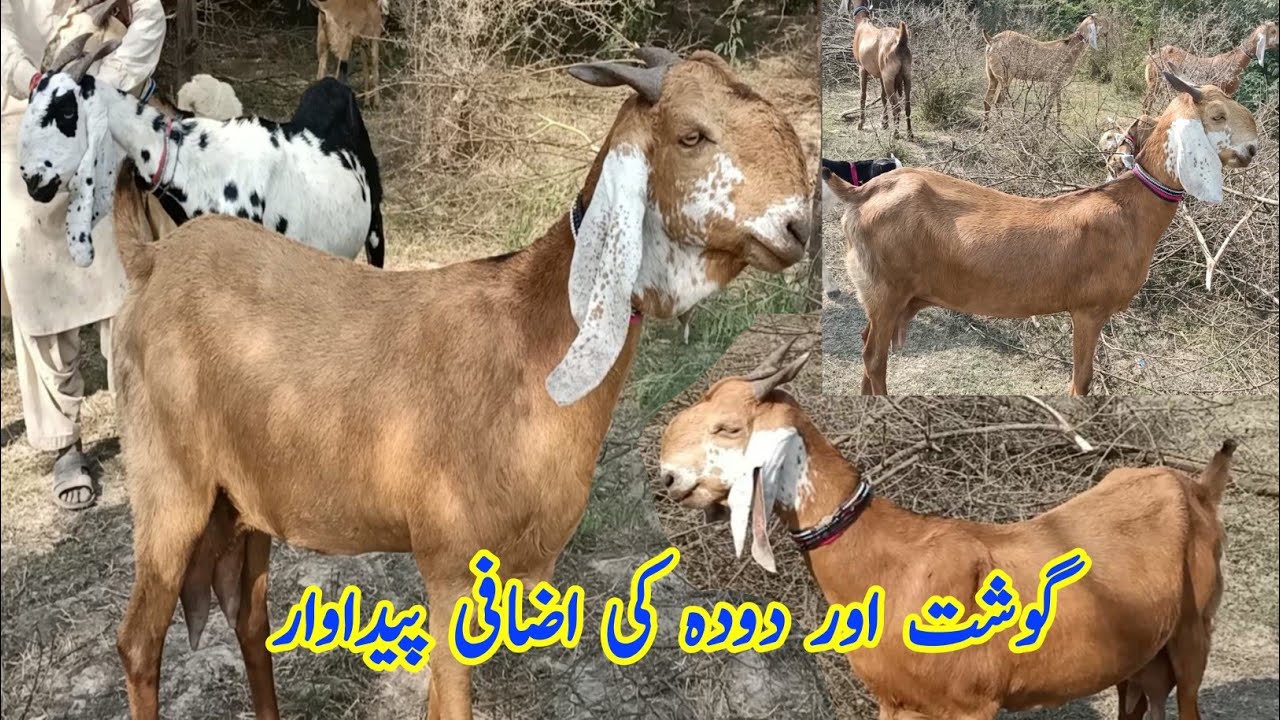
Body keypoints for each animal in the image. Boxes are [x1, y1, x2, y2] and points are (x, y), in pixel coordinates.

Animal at [107, 48, 812, 720]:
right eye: (692, 134)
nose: (798, 228)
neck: (529, 339)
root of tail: (151, 259)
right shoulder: (447, 559)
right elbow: (451, 700)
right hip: (170, 486)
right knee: (139, 641)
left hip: (240, 503)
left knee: (249, 619)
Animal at [657, 349, 1233, 720]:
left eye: (729, 427)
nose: (668, 478)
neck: (889, 560)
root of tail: (1198, 486)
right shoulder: (897, 701)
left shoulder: (971, 703)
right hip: (1140, 658)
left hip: (1194, 632)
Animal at [824, 73, 1258, 396]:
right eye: (1217, 115)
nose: (1252, 149)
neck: (1129, 208)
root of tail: (862, 192)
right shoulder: (1088, 310)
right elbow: (1081, 381)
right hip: (887, 289)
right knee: (874, 358)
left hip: (886, 295)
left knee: (867, 347)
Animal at [840, 0, 913, 140]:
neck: (863, 22)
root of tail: (901, 40)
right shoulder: (880, 75)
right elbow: (883, 97)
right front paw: (884, 122)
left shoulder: (862, 69)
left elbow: (862, 95)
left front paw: (861, 123)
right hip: (906, 77)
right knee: (907, 106)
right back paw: (910, 133)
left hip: (889, 79)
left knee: (896, 108)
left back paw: (896, 134)